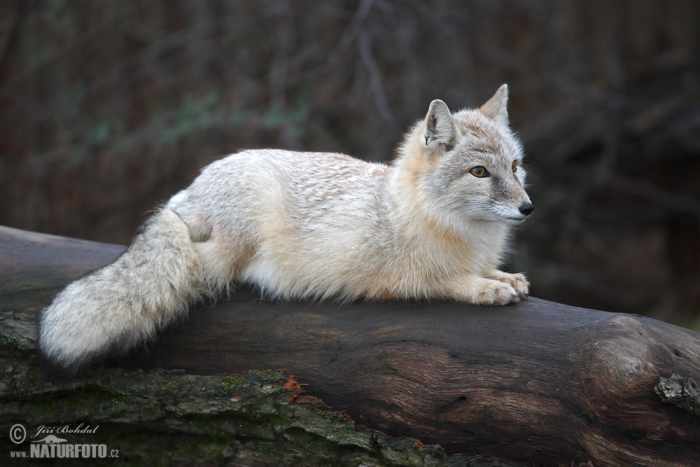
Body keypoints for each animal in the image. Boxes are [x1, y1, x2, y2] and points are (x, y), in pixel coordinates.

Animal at [39, 84, 534, 371]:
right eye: (479, 173)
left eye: (514, 167)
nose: (527, 208)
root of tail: (188, 192)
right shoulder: (398, 276)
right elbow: (446, 280)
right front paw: (483, 287)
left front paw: (502, 275)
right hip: (229, 242)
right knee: (193, 269)